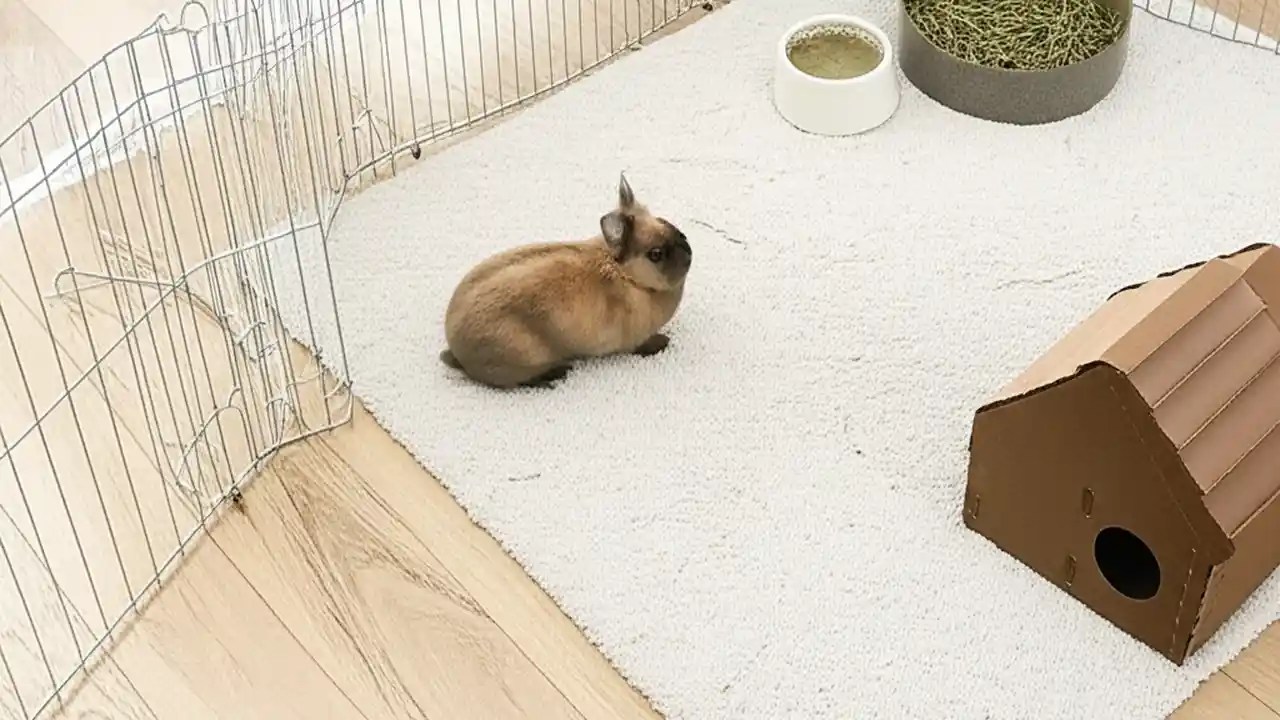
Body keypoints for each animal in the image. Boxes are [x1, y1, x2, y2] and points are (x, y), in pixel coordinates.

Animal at [439, 173, 693, 389]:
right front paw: (662, 342)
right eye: (655, 254)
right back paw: (557, 373)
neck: (629, 277)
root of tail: (457, 350)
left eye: (665, 223)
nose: (687, 249)